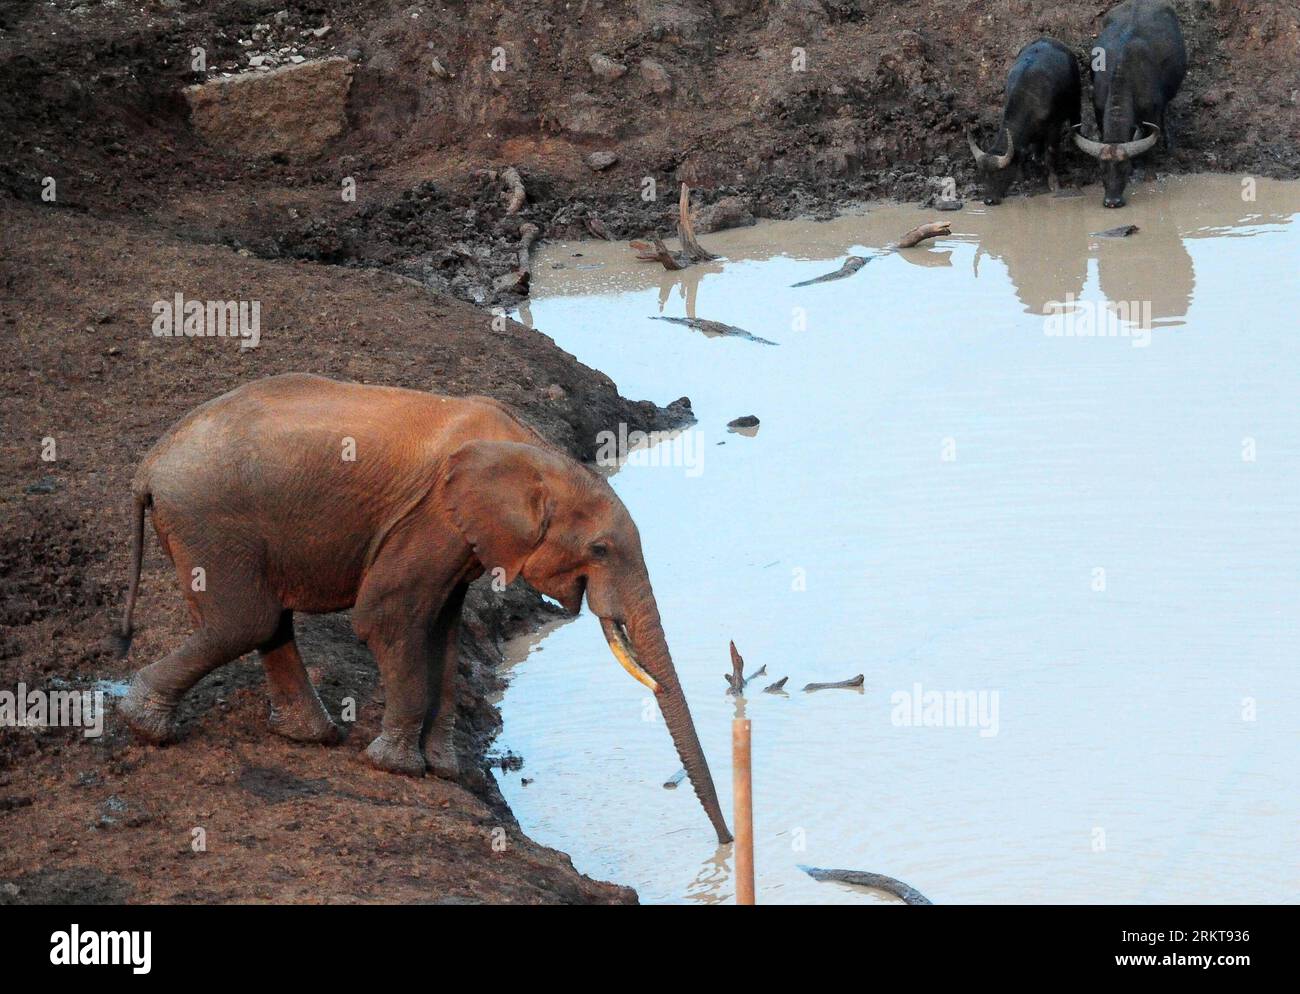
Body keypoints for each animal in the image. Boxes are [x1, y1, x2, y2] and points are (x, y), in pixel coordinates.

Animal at [115, 373, 733, 845]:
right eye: (600, 550)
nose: (727, 842)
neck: (536, 452)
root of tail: (148, 465)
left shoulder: (461, 539)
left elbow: (443, 630)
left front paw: (445, 769)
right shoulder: (431, 517)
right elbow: (388, 618)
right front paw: (399, 767)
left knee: (265, 621)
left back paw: (310, 737)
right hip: (208, 516)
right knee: (246, 620)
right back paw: (144, 726)